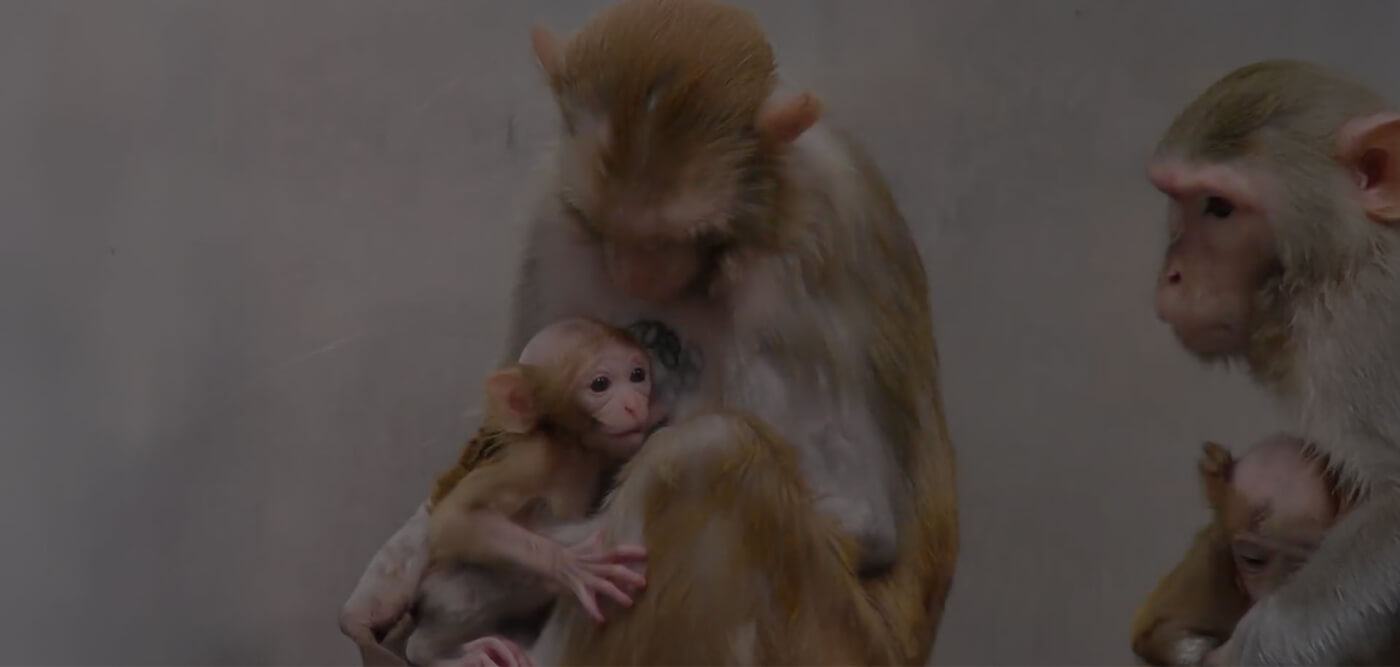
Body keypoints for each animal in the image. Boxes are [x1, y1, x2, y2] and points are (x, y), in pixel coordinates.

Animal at [400, 318, 658, 665]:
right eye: (600, 384)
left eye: (637, 375)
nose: (633, 404)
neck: (570, 445)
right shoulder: (533, 459)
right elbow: (453, 520)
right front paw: (567, 562)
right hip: (446, 592)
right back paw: (440, 654)